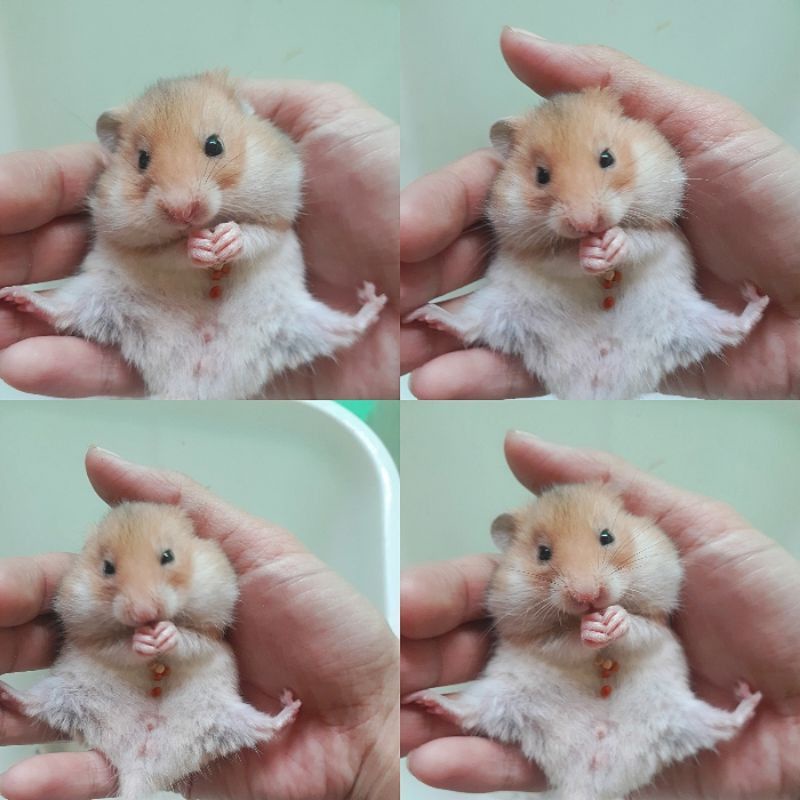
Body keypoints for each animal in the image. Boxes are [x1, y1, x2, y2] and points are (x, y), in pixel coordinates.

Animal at [0, 71, 386, 399]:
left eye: (214, 145)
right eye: (142, 160)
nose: (182, 210)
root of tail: (200, 384)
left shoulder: (280, 216)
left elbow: (256, 233)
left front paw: (225, 240)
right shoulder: (134, 239)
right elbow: (168, 250)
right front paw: (199, 246)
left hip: (297, 322)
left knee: (347, 331)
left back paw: (373, 299)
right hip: (98, 298)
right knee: (59, 309)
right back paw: (15, 296)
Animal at [0, 502, 300, 800]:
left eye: (168, 556)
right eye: (107, 568)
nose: (144, 613)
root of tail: (141, 765)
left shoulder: (213, 633)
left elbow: (189, 639)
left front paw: (165, 633)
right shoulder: (95, 640)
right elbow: (119, 646)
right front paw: (142, 640)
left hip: (227, 720)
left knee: (268, 728)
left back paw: (291, 703)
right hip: (65, 696)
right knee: (30, 702)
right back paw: (5, 692)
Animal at [404, 89, 767, 399]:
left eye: (607, 157)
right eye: (541, 176)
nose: (586, 223)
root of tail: (597, 386)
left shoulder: (666, 229)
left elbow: (641, 238)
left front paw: (613, 243)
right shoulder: (535, 251)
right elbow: (562, 256)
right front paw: (590, 253)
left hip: (688, 320)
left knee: (734, 329)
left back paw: (755, 296)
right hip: (502, 309)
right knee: (468, 326)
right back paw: (422, 315)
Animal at [404, 484, 761, 800]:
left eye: (607, 537)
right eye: (543, 553)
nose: (588, 596)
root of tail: (590, 780)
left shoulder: (660, 624)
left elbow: (638, 626)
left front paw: (613, 619)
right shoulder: (540, 640)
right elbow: (567, 640)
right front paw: (590, 629)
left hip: (683, 719)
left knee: (727, 725)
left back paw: (748, 695)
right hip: (501, 700)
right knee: (465, 711)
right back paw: (421, 700)